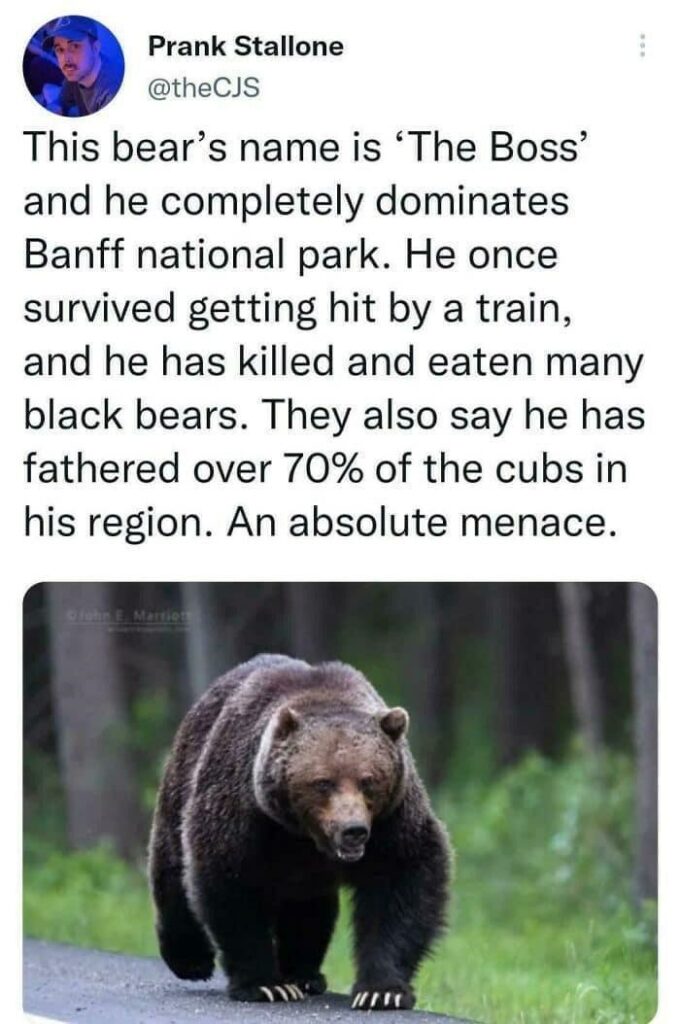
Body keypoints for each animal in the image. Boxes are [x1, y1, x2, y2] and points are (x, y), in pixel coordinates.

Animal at [149, 654, 451, 1011]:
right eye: (323, 782)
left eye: (368, 780)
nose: (354, 830)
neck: (303, 835)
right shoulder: (243, 811)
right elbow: (230, 885)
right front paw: (266, 985)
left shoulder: (392, 820)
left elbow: (400, 884)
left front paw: (382, 991)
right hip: (183, 781)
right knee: (172, 872)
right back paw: (191, 960)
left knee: (309, 911)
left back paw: (304, 974)